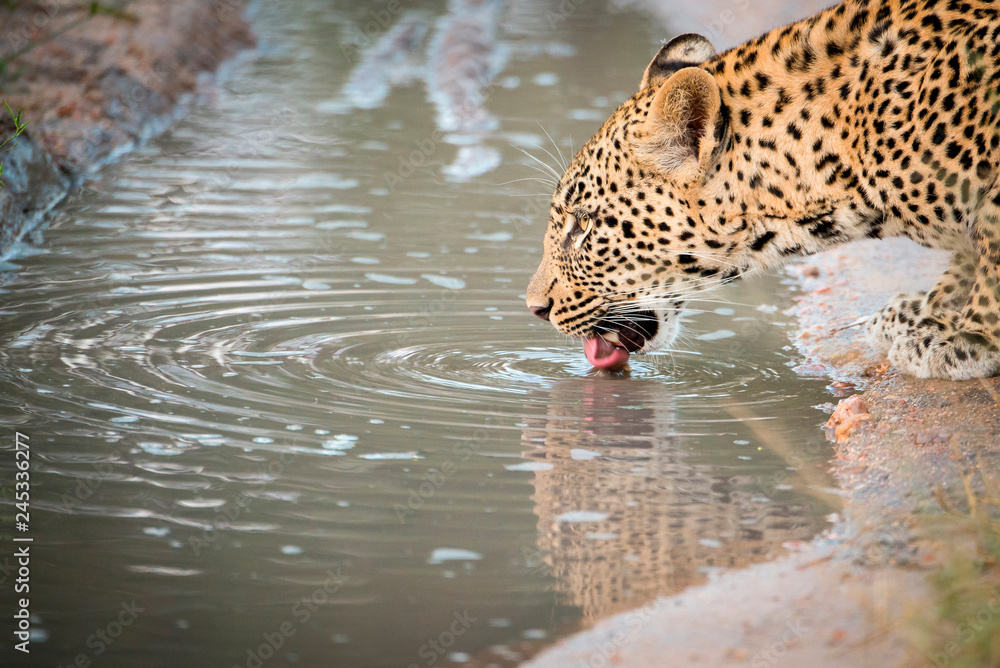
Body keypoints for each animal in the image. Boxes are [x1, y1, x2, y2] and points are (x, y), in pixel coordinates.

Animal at [525, 0, 1000, 380]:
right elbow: (970, 252)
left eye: (584, 225)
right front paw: (928, 310)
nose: (534, 308)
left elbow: (988, 248)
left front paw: (967, 338)